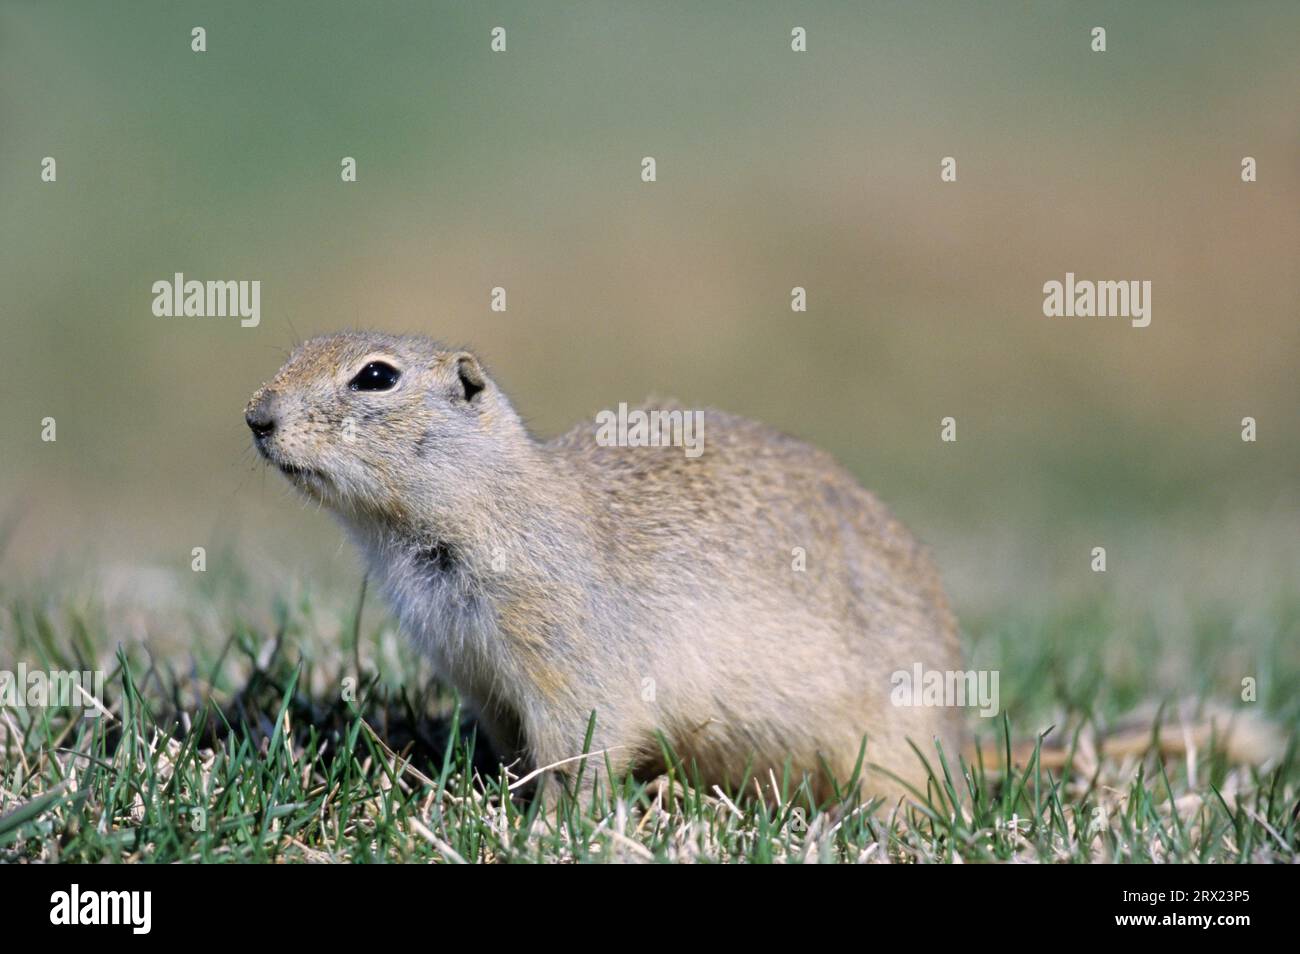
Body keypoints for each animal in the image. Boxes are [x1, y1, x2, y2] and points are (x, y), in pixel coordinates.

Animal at [246, 332, 965, 804]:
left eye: (375, 377)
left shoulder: (567, 651)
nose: (256, 415)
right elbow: (514, 744)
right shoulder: (477, 675)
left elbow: (580, 741)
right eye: (295, 351)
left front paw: (548, 826)